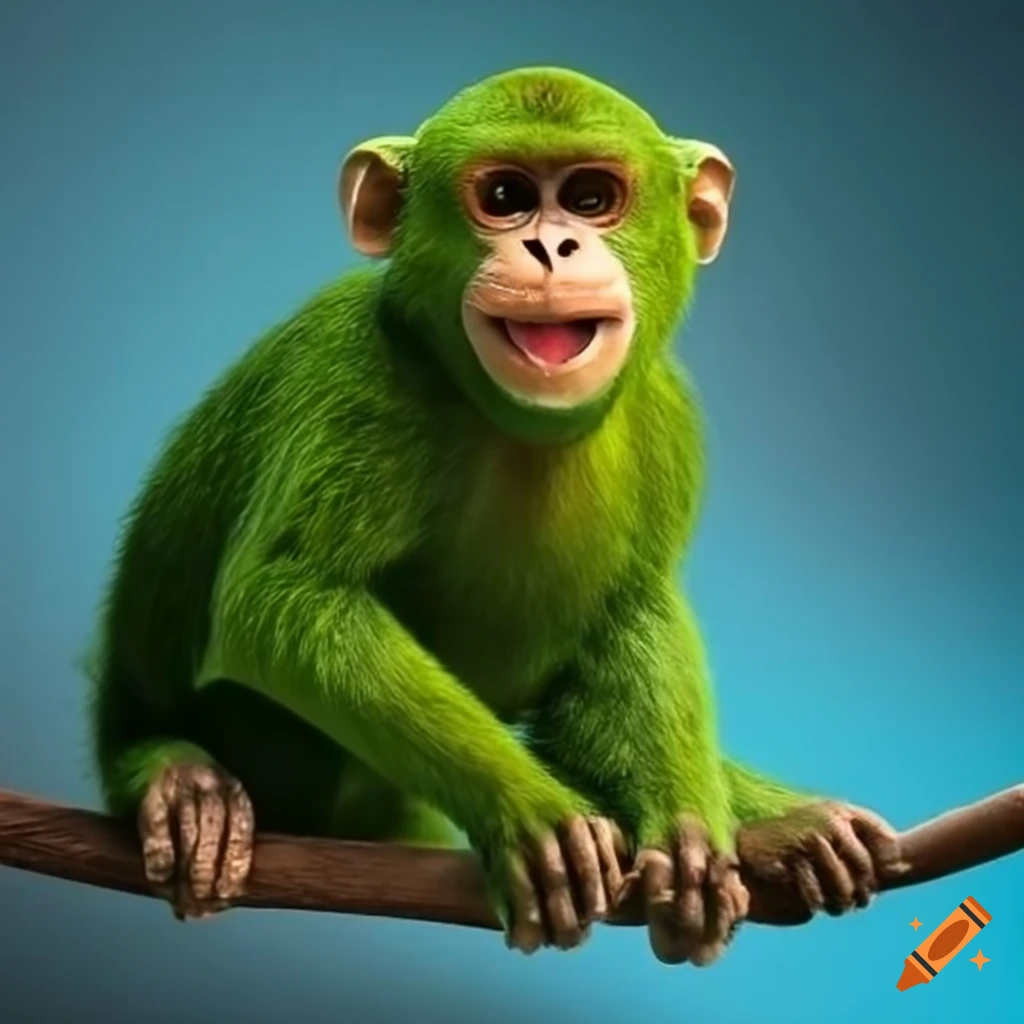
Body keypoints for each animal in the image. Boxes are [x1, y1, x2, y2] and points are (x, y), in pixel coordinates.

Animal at [86, 66, 902, 967]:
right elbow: (286, 599)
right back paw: (178, 782)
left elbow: (632, 615)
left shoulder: (668, 417)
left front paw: (692, 823)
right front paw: (532, 815)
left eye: (590, 198)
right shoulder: (351, 367)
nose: (553, 248)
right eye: (506, 197)